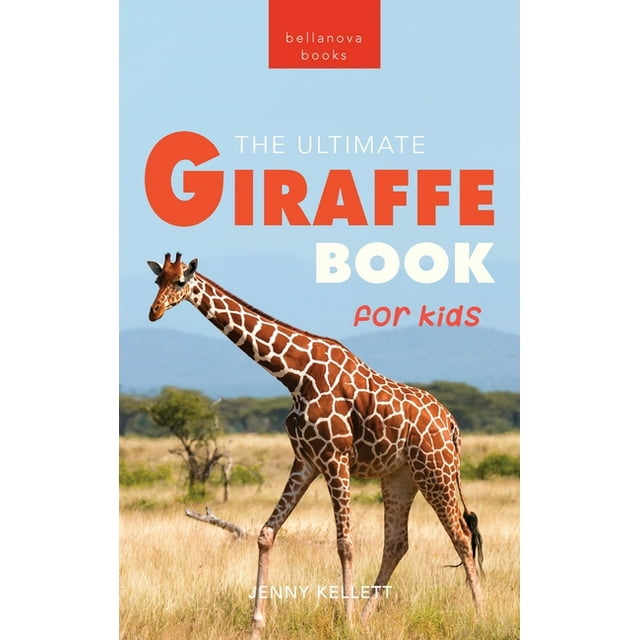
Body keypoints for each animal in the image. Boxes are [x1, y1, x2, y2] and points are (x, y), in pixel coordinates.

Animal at [147, 253, 484, 639]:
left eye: (179, 282)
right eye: (157, 281)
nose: (154, 311)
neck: (295, 375)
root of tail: (452, 425)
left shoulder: (336, 457)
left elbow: (345, 543)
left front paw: (346, 622)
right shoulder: (306, 460)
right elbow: (266, 533)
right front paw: (257, 625)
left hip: (436, 470)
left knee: (462, 535)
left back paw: (480, 615)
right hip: (401, 477)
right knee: (397, 543)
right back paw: (368, 617)